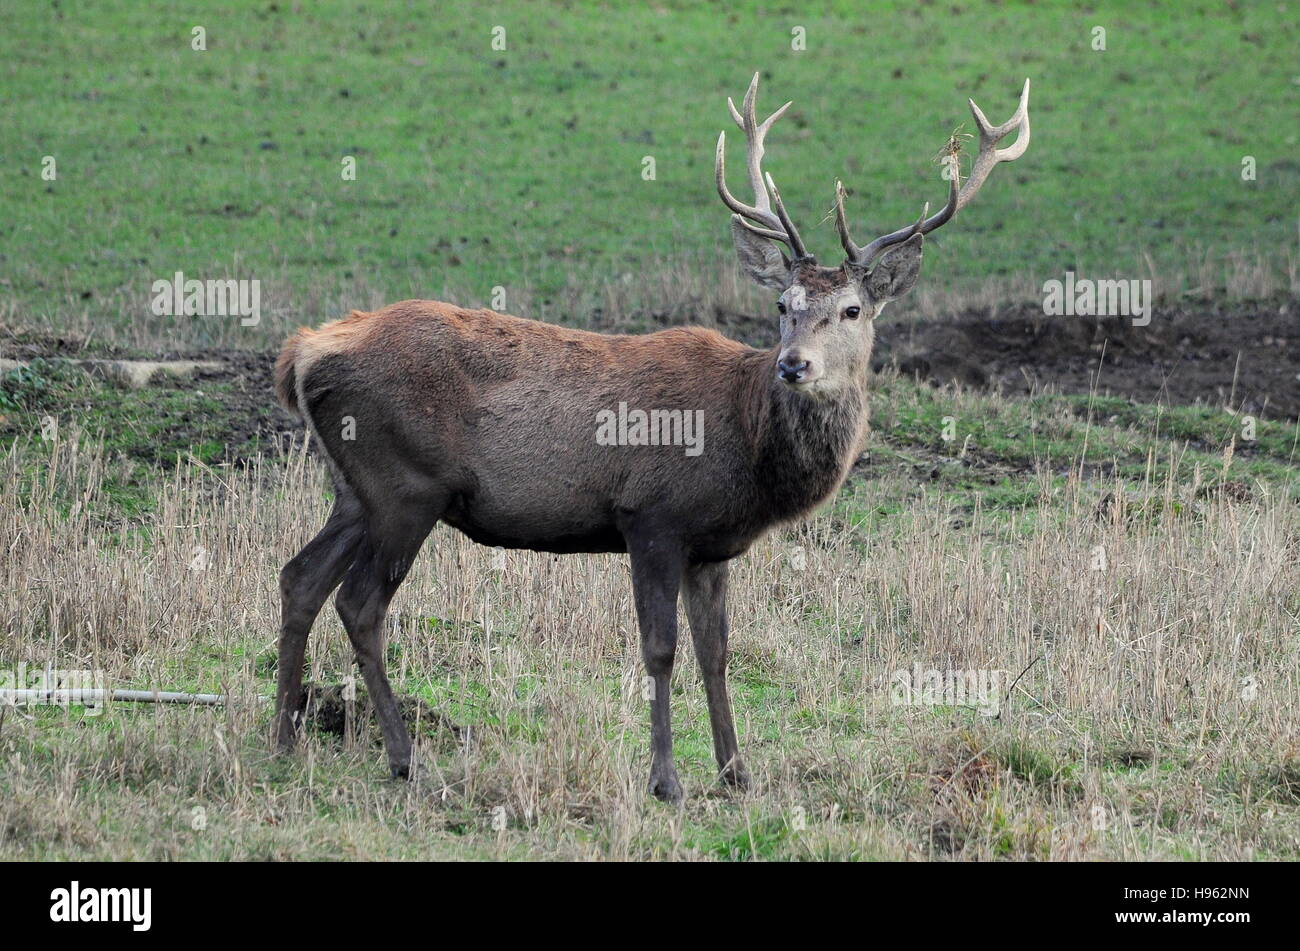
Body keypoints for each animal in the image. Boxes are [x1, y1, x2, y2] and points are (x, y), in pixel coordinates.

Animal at [272, 74, 1030, 803]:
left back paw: (284, 738)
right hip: (405, 484)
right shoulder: (651, 515)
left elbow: (716, 652)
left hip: (356, 489)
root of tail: (302, 351)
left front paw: (737, 772)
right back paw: (405, 759)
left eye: (850, 309)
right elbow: (660, 648)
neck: (746, 448)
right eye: (782, 304)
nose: (794, 364)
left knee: (299, 576)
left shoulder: (713, 545)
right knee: (359, 602)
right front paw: (666, 779)